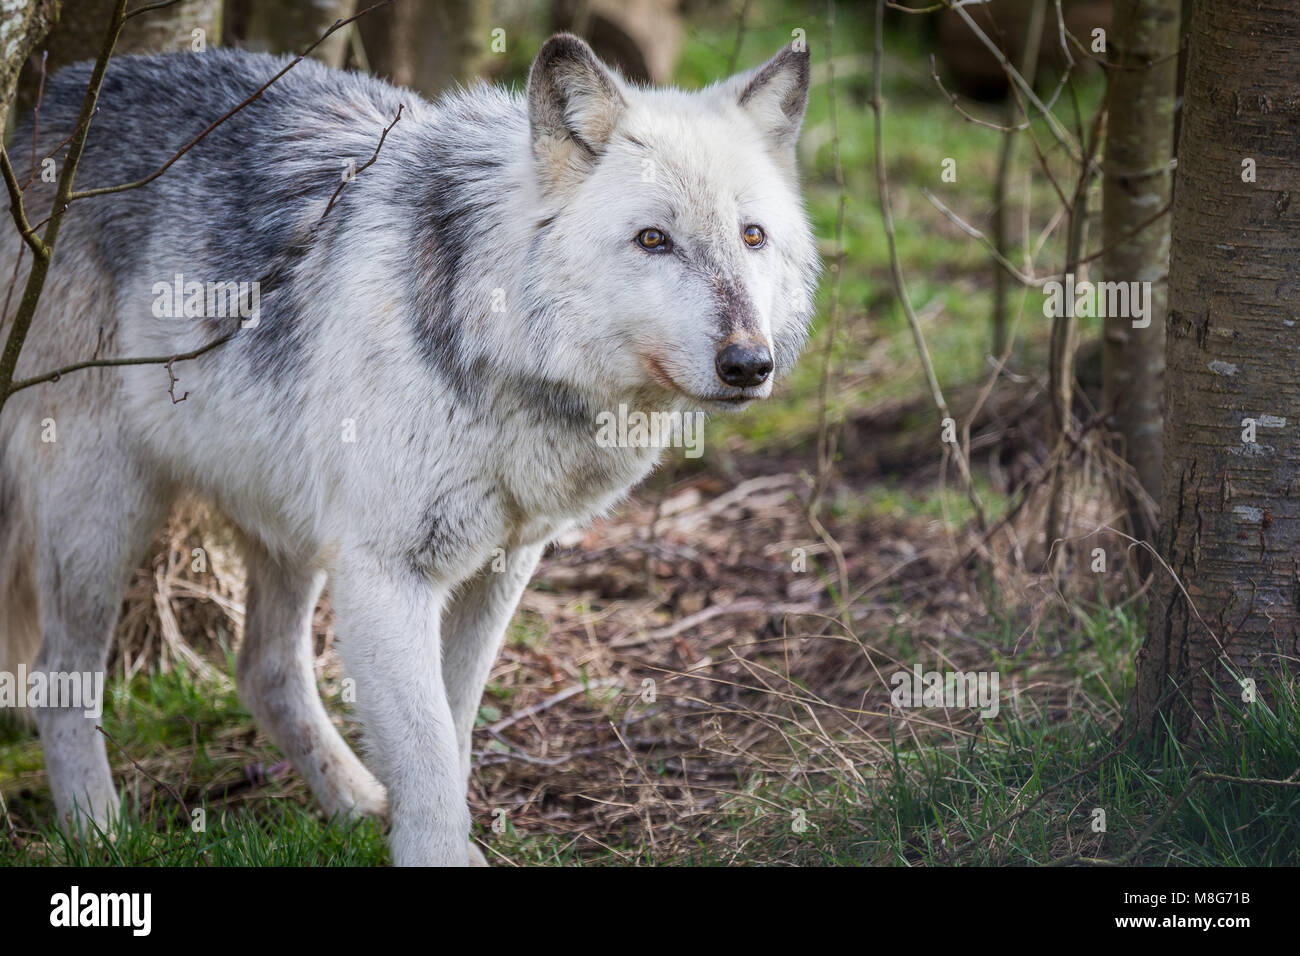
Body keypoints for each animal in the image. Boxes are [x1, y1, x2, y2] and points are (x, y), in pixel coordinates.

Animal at [0, 32, 817, 865]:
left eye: (752, 236)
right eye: (654, 240)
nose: (749, 364)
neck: (494, 334)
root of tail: (49, 104)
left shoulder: (500, 567)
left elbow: (449, 735)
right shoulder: (388, 574)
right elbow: (425, 754)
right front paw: (435, 847)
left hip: (286, 528)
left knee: (263, 671)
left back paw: (356, 802)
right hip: (103, 513)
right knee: (56, 676)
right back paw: (99, 835)